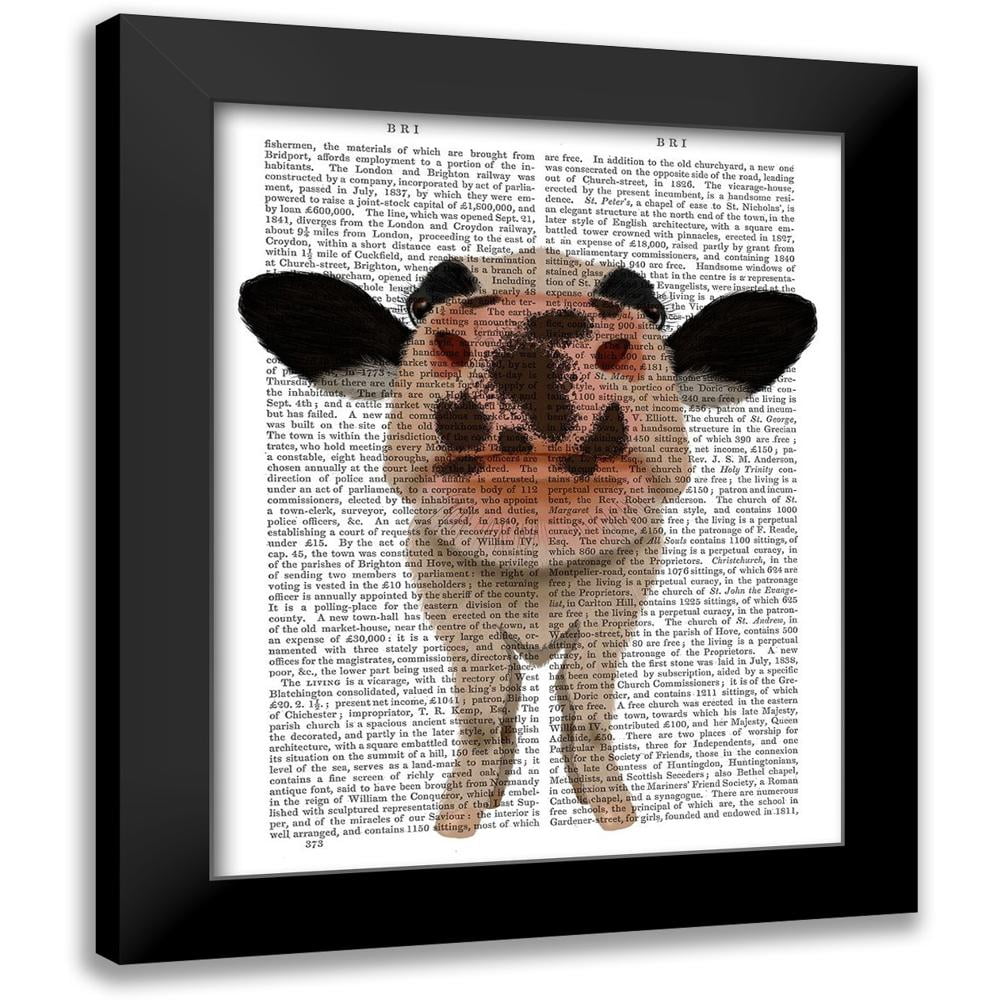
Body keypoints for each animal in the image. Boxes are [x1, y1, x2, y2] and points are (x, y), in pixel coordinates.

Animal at [238, 249, 816, 838]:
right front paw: (461, 813)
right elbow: (484, 707)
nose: (530, 334)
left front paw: (610, 806)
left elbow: (586, 702)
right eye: (420, 304)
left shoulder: (620, 600)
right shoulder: (450, 603)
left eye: (654, 311)